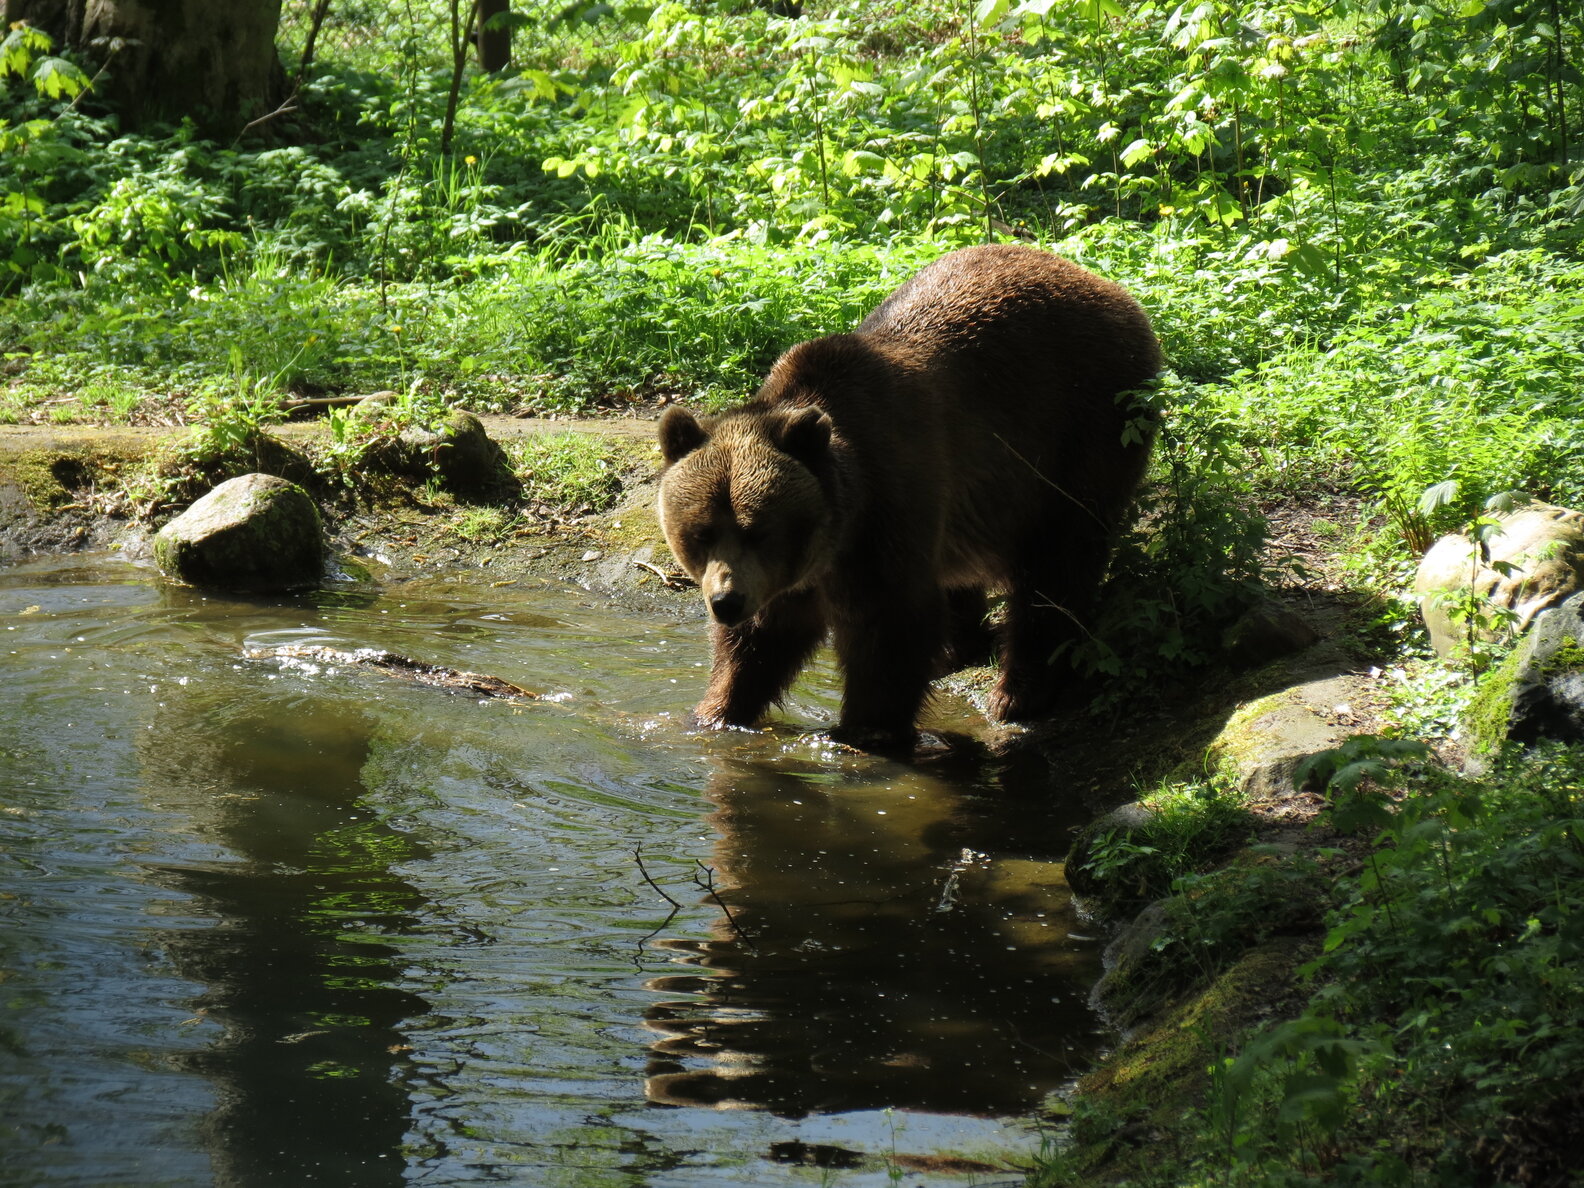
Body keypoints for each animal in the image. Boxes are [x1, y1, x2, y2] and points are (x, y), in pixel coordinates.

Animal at [655, 243, 1161, 749]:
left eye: (759, 531)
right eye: (701, 533)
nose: (726, 601)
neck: (837, 535)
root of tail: (1108, 287)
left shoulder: (888, 505)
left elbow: (890, 624)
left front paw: (865, 729)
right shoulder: (790, 574)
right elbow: (760, 643)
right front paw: (715, 711)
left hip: (1080, 428)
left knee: (1057, 562)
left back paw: (1016, 692)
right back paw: (956, 653)